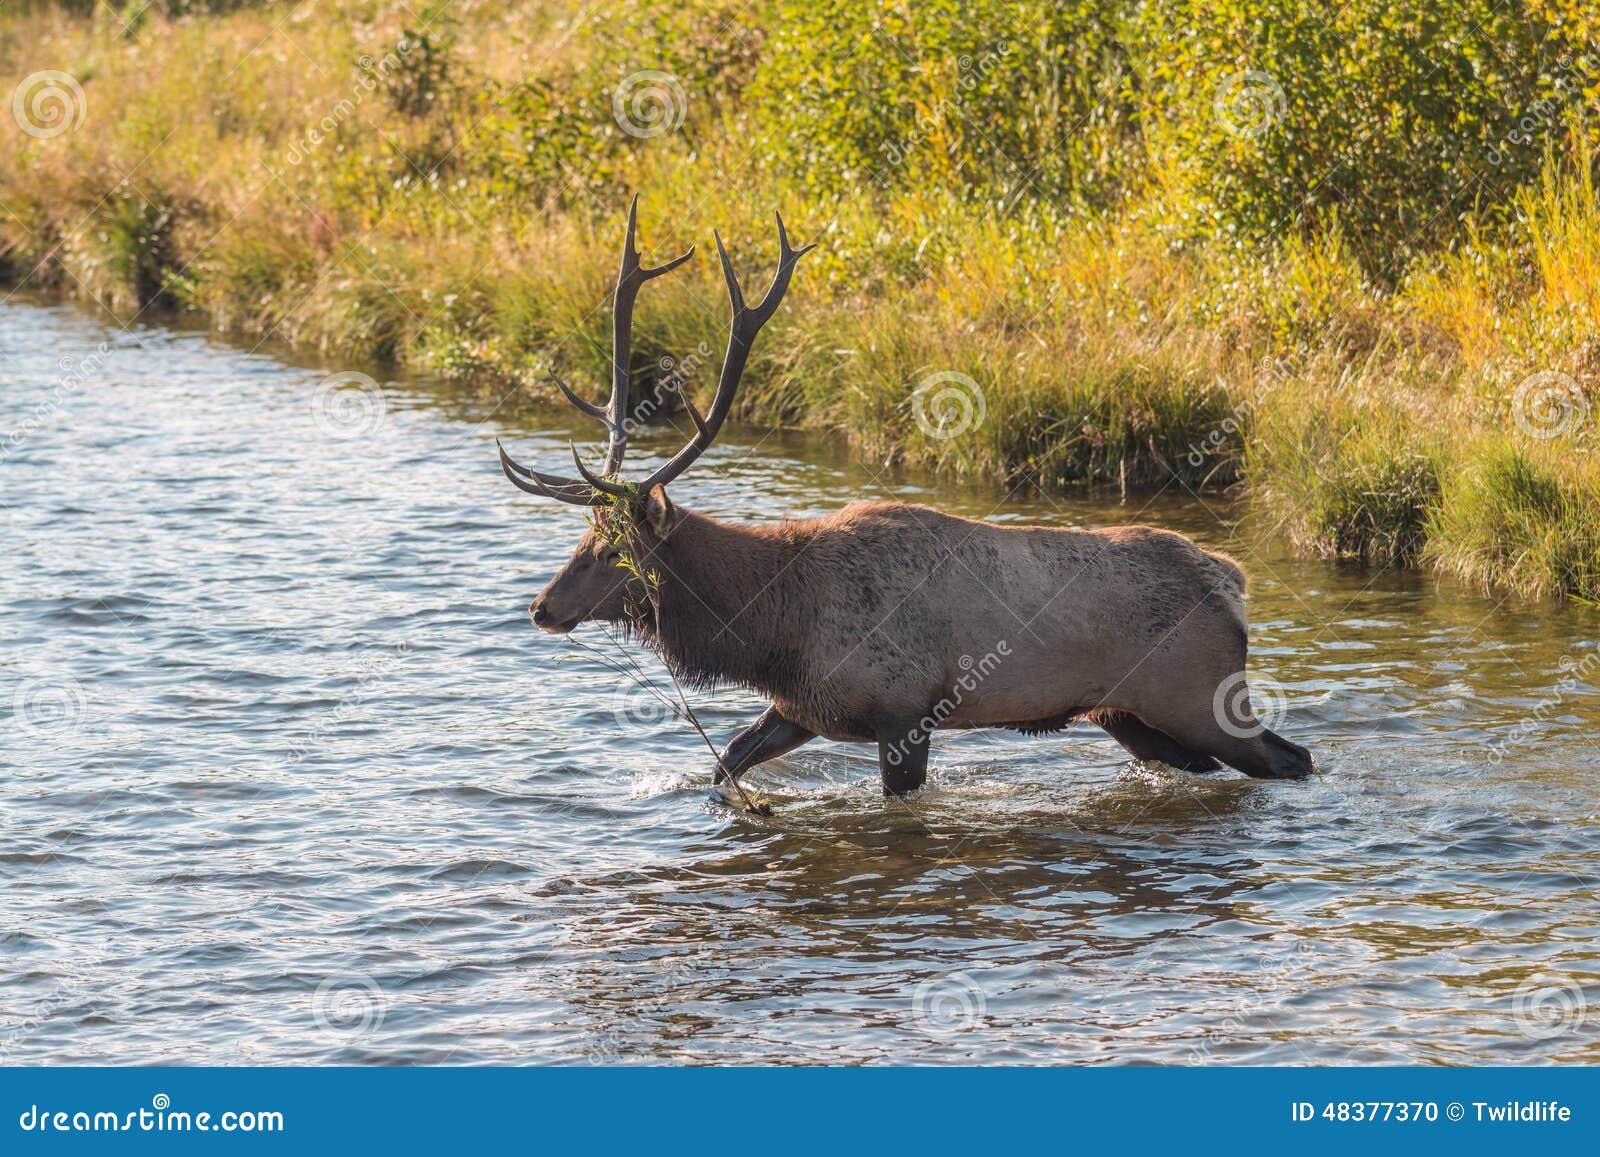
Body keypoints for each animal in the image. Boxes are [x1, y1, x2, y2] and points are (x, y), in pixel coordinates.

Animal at [497, 200, 1315, 800]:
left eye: (614, 550)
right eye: (584, 538)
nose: (540, 607)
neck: (775, 626)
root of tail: (1233, 580)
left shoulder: (905, 711)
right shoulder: (804, 708)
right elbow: (724, 764)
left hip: (1201, 696)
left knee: (1292, 757)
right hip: (1131, 714)